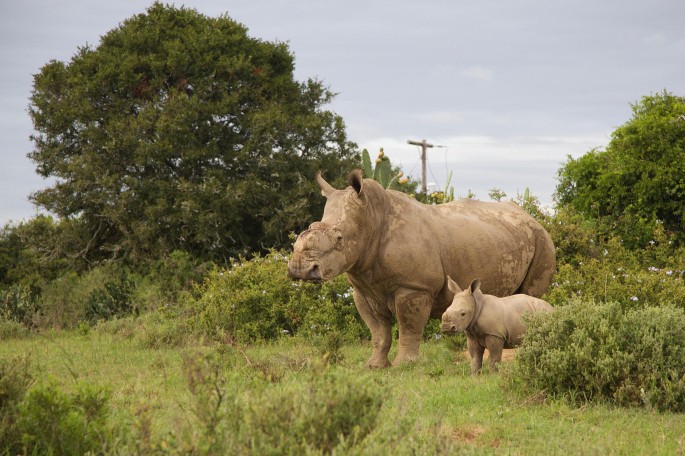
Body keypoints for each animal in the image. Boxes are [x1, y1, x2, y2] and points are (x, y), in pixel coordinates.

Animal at [287, 170, 556, 368]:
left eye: (340, 238)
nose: (300, 269)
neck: (371, 217)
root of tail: (532, 218)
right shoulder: (362, 288)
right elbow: (378, 331)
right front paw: (374, 366)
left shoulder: (414, 287)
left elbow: (408, 325)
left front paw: (404, 366)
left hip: (542, 241)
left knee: (530, 294)